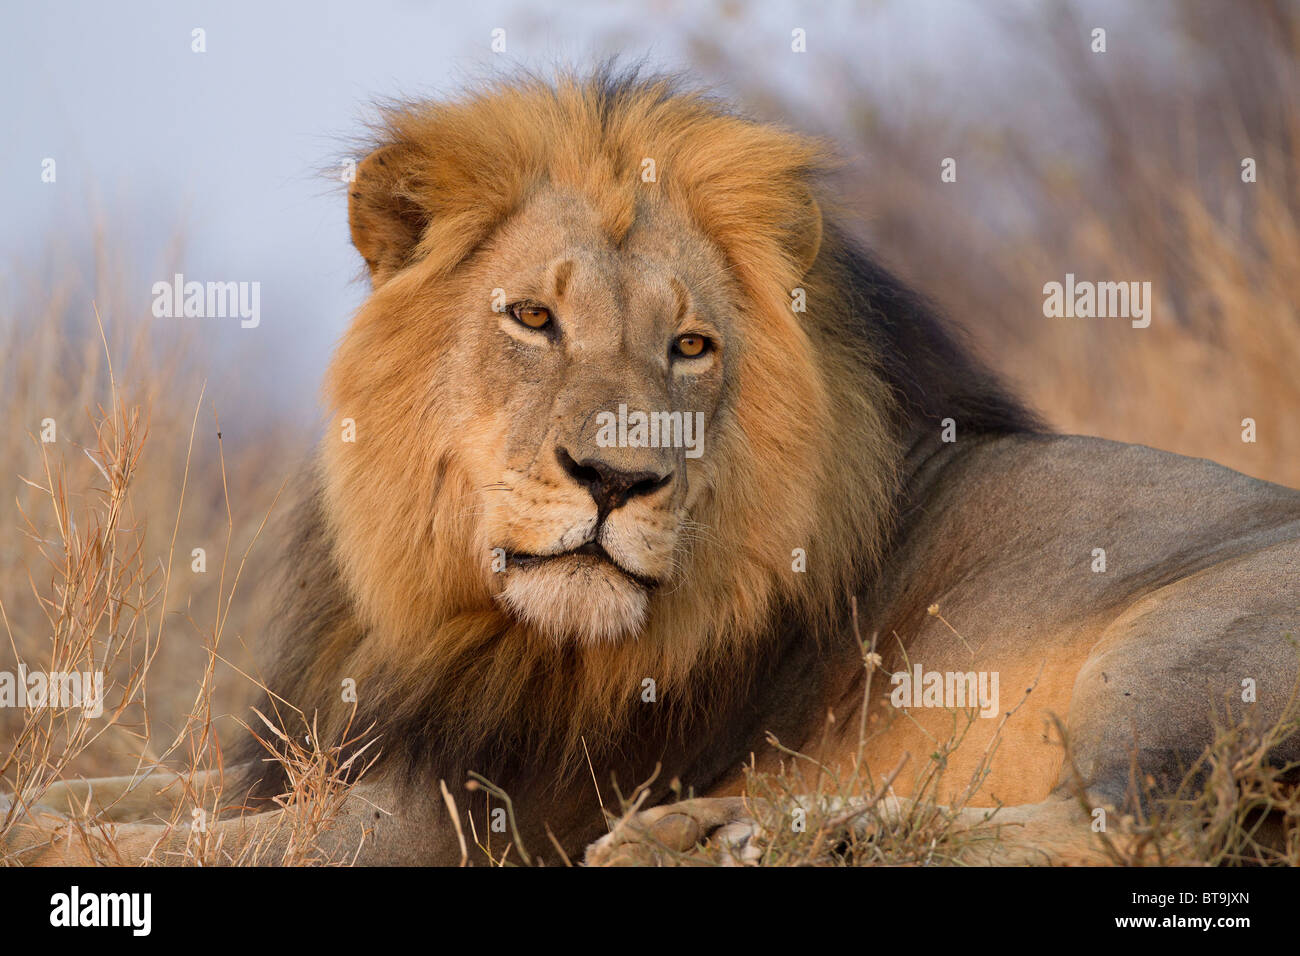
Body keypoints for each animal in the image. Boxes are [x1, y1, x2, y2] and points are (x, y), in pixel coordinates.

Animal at [5, 67, 1299, 866]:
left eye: (689, 346)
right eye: (531, 318)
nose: (616, 480)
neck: (451, 603)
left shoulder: (456, 822)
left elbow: (111, 835)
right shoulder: (323, 753)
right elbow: (79, 795)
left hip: (1173, 661)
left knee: (1141, 831)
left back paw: (742, 839)